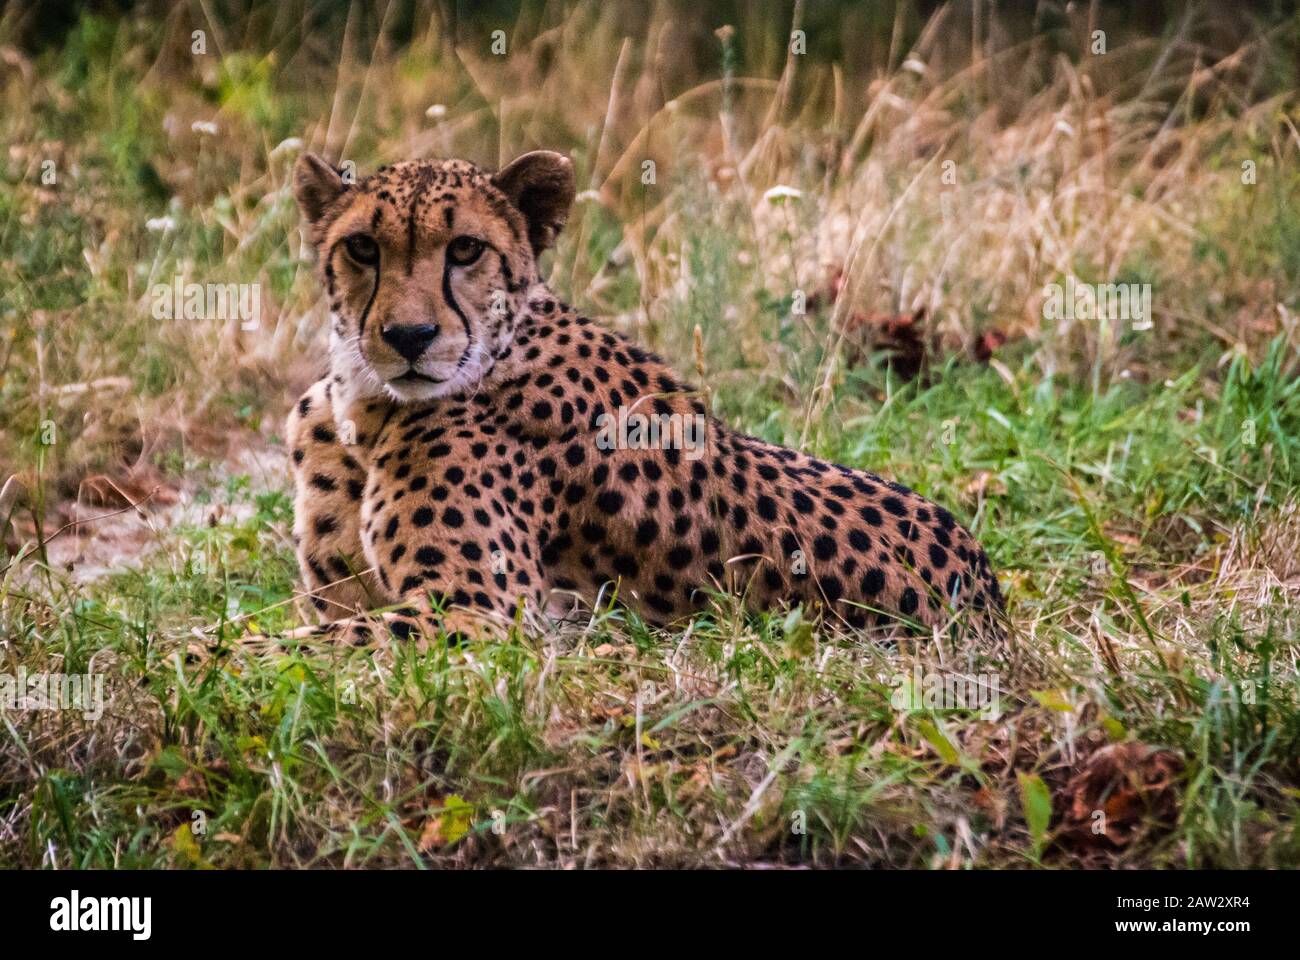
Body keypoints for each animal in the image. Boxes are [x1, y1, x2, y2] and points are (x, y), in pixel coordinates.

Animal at [283, 149, 1004, 646]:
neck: (359, 404)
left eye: (465, 249)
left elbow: (283, 649)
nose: (409, 336)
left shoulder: (480, 611)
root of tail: (991, 600)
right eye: (361, 247)